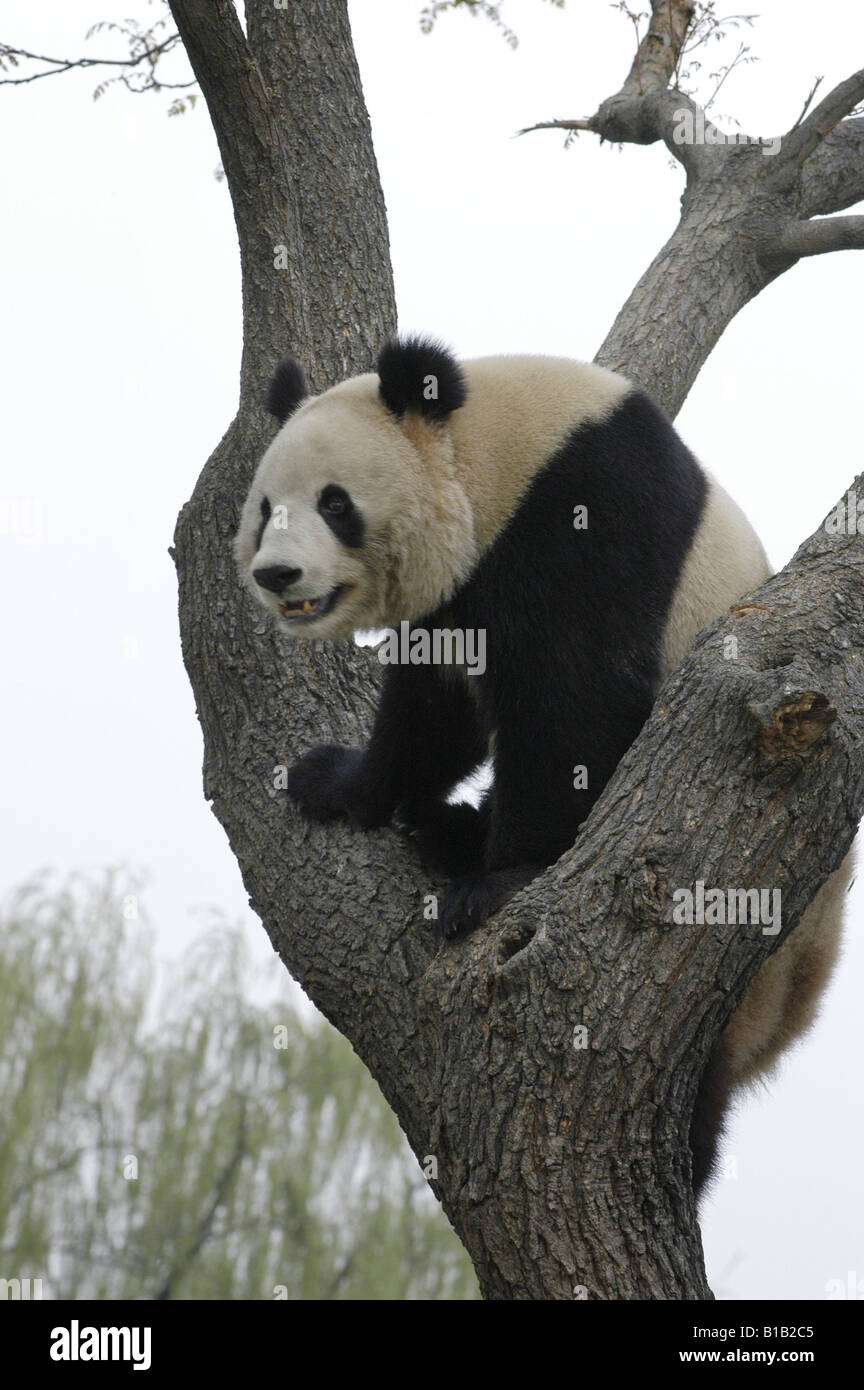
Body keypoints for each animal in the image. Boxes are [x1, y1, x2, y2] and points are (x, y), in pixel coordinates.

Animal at [235, 335, 849, 1197]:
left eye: (335, 504)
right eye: (266, 508)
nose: (278, 575)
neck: (493, 455)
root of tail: (785, 1023)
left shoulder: (587, 513)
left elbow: (574, 703)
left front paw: (499, 885)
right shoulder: (461, 591)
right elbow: (437, 707)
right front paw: (337, 783)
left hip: (750, 974)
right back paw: (451, 830)